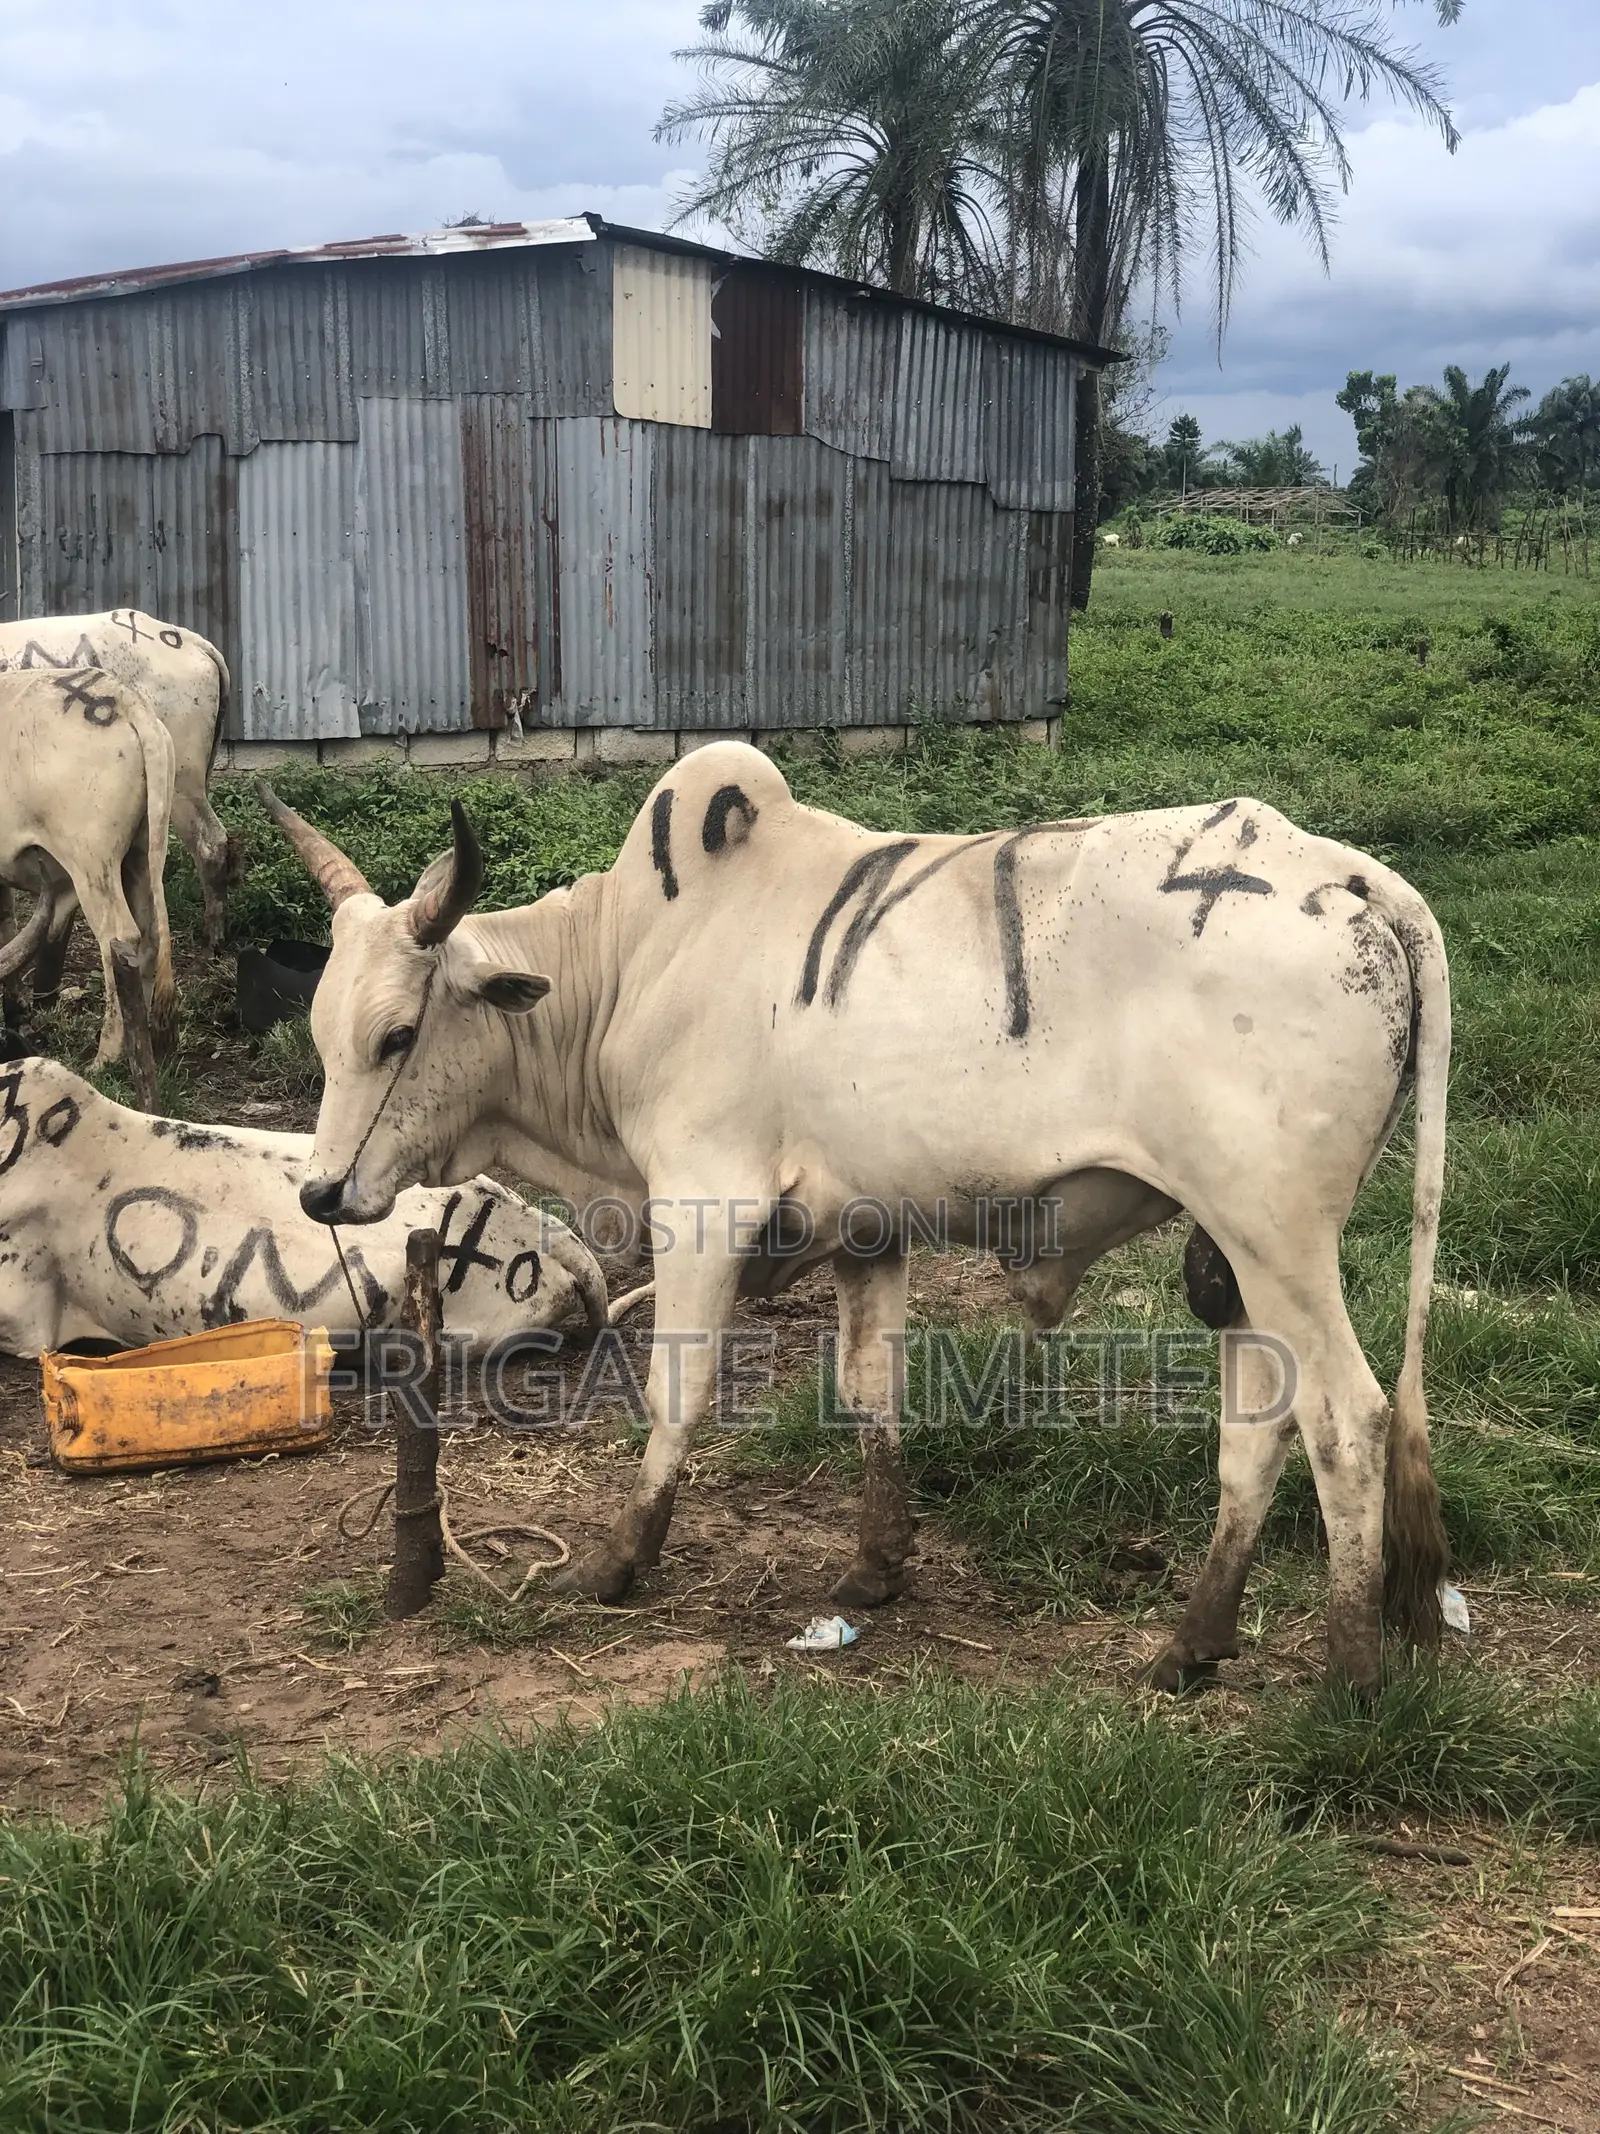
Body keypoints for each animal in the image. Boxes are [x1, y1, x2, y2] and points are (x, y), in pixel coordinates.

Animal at [0, 669, 176, 1067]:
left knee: (118, 935)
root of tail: (124, 700)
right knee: (150, 935)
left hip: (91, 861)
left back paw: (105, 1056)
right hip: (142, 854)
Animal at [260, 741, 1453, 1690]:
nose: (320, 1193)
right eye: (322, 1030)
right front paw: (878, 1565)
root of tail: (1346, 875)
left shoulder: (703, 1202)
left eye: (397, 1033)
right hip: (1238, 1253)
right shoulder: (869, 1228)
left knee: (1345, 1418)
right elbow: (871, 1383)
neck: (626, 967)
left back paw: (1347, 1677)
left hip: (1276, 1234)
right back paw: (1193, 1645)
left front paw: (618, 1560)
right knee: (1258, 1425)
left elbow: (676, 1386)